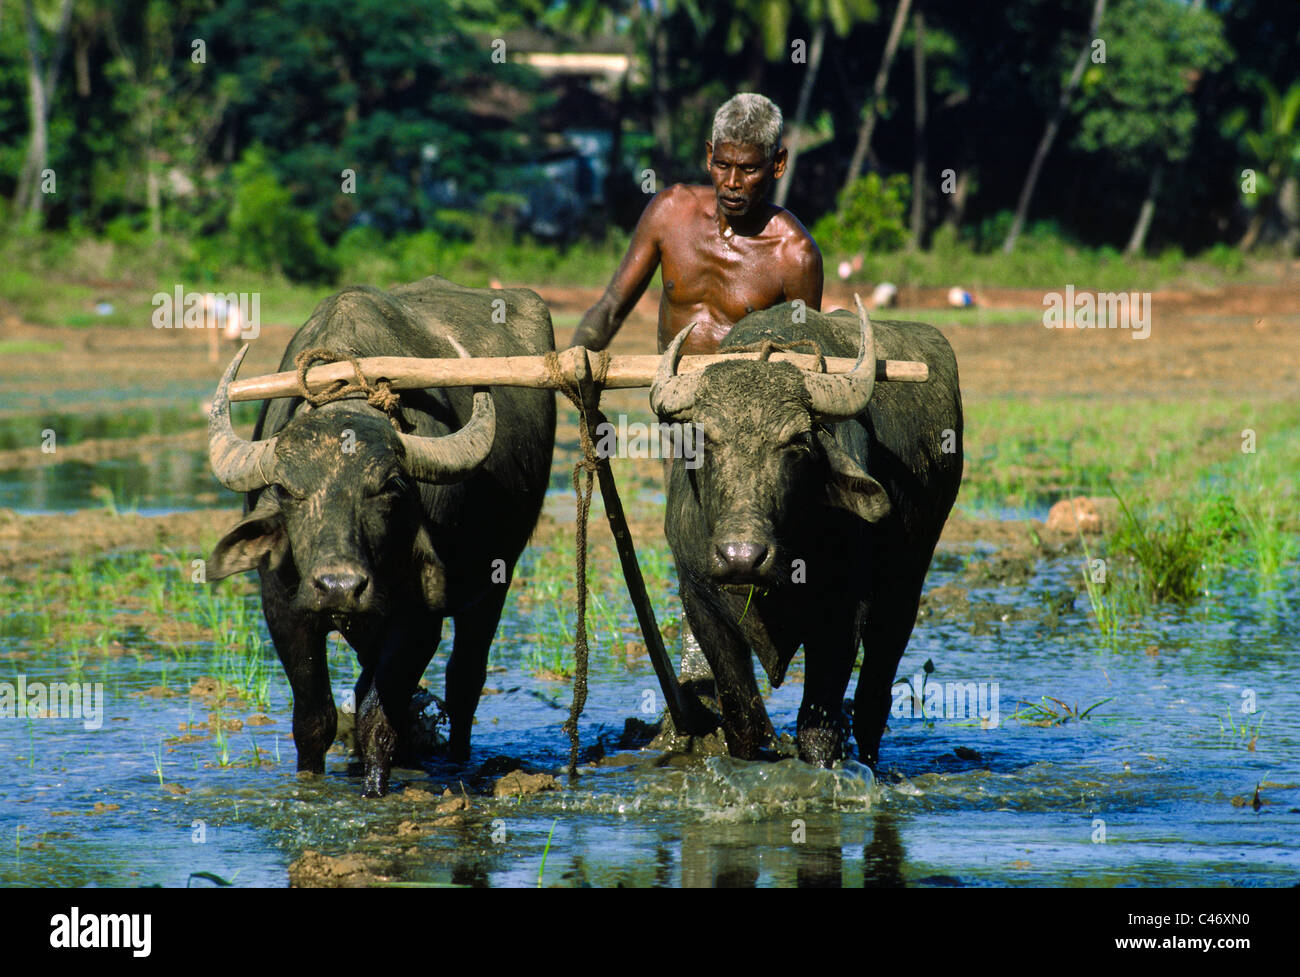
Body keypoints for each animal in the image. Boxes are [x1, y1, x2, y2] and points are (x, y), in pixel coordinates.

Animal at [207, 275, 555, 796]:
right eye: (287, 490)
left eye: (388, 486)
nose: (339, 587)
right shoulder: (282, 608)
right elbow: (314, 717)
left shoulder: (419, 619)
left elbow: (378, 718)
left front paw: (374, 788)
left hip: (496, 581)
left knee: (465, 679)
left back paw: (458, 758)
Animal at [651, 300, 963, 768]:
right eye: (705, 437)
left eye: (797, 441)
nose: (741, 557)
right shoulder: (701, 604)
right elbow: (743, 721)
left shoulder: (846, 611)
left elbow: (818, 728)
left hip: (906, 587)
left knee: (873, 697)